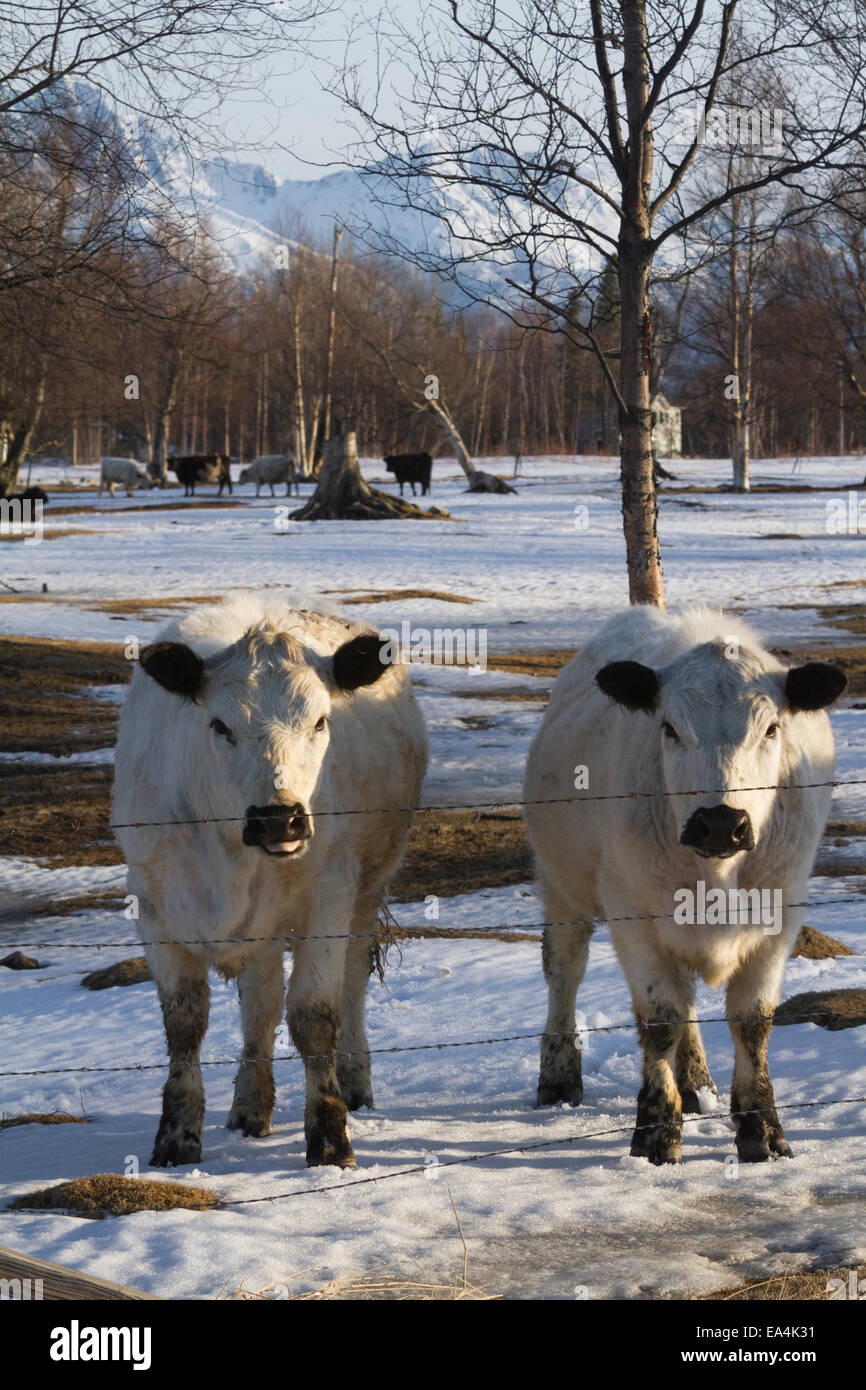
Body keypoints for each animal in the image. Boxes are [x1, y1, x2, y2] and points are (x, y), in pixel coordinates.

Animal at [112, 594, 428, 1170]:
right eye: (219, 726)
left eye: (321, 722)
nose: (278, 820)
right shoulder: (154, 909)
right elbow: (185, 1023)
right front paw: (176, 1137)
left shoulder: (328, 899)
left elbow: (313, 1016)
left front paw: (329, 1140)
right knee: (259, 1005)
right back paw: (249, 1107)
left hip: (367, 888)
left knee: (350, 983)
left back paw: (353, 1082)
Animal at [524, 606, 846, 1166]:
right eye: (669, 728)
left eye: (772, 728)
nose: (720, 823)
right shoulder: (633, 914)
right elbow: (660, 1020)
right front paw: (656, 1134)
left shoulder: (781, 913)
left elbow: (751, 1021)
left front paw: (761, 1131)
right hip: (562, 885)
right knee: (565, 971)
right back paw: (560, 1078)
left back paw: (696, 1084)